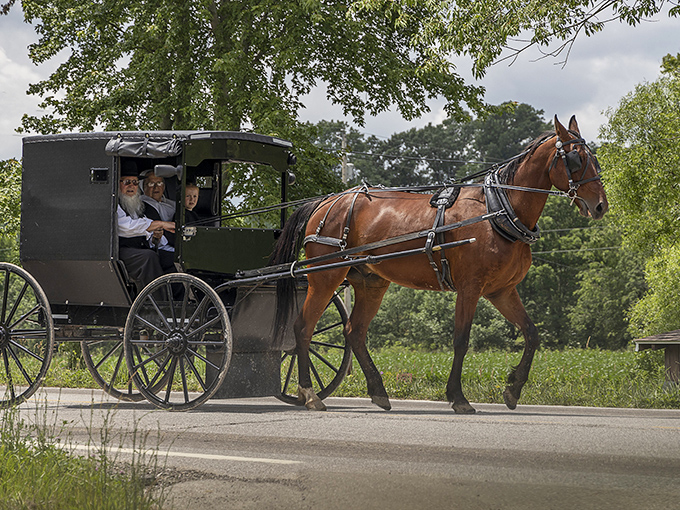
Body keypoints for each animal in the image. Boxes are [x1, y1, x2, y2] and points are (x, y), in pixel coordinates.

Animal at [270, 115, 608, 414]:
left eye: (594, 158)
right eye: (576, 159)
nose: (600, 205)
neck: (499, 212)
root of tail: (325, 202)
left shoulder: (502, 291)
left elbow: (532, 334)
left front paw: (513, 389)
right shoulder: (470, 288)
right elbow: (461, 340)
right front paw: (458, 397)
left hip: (370, 282)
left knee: (354, 332)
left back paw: (378, 392)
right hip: (325, 277)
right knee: (303, 328)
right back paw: (310, 394)